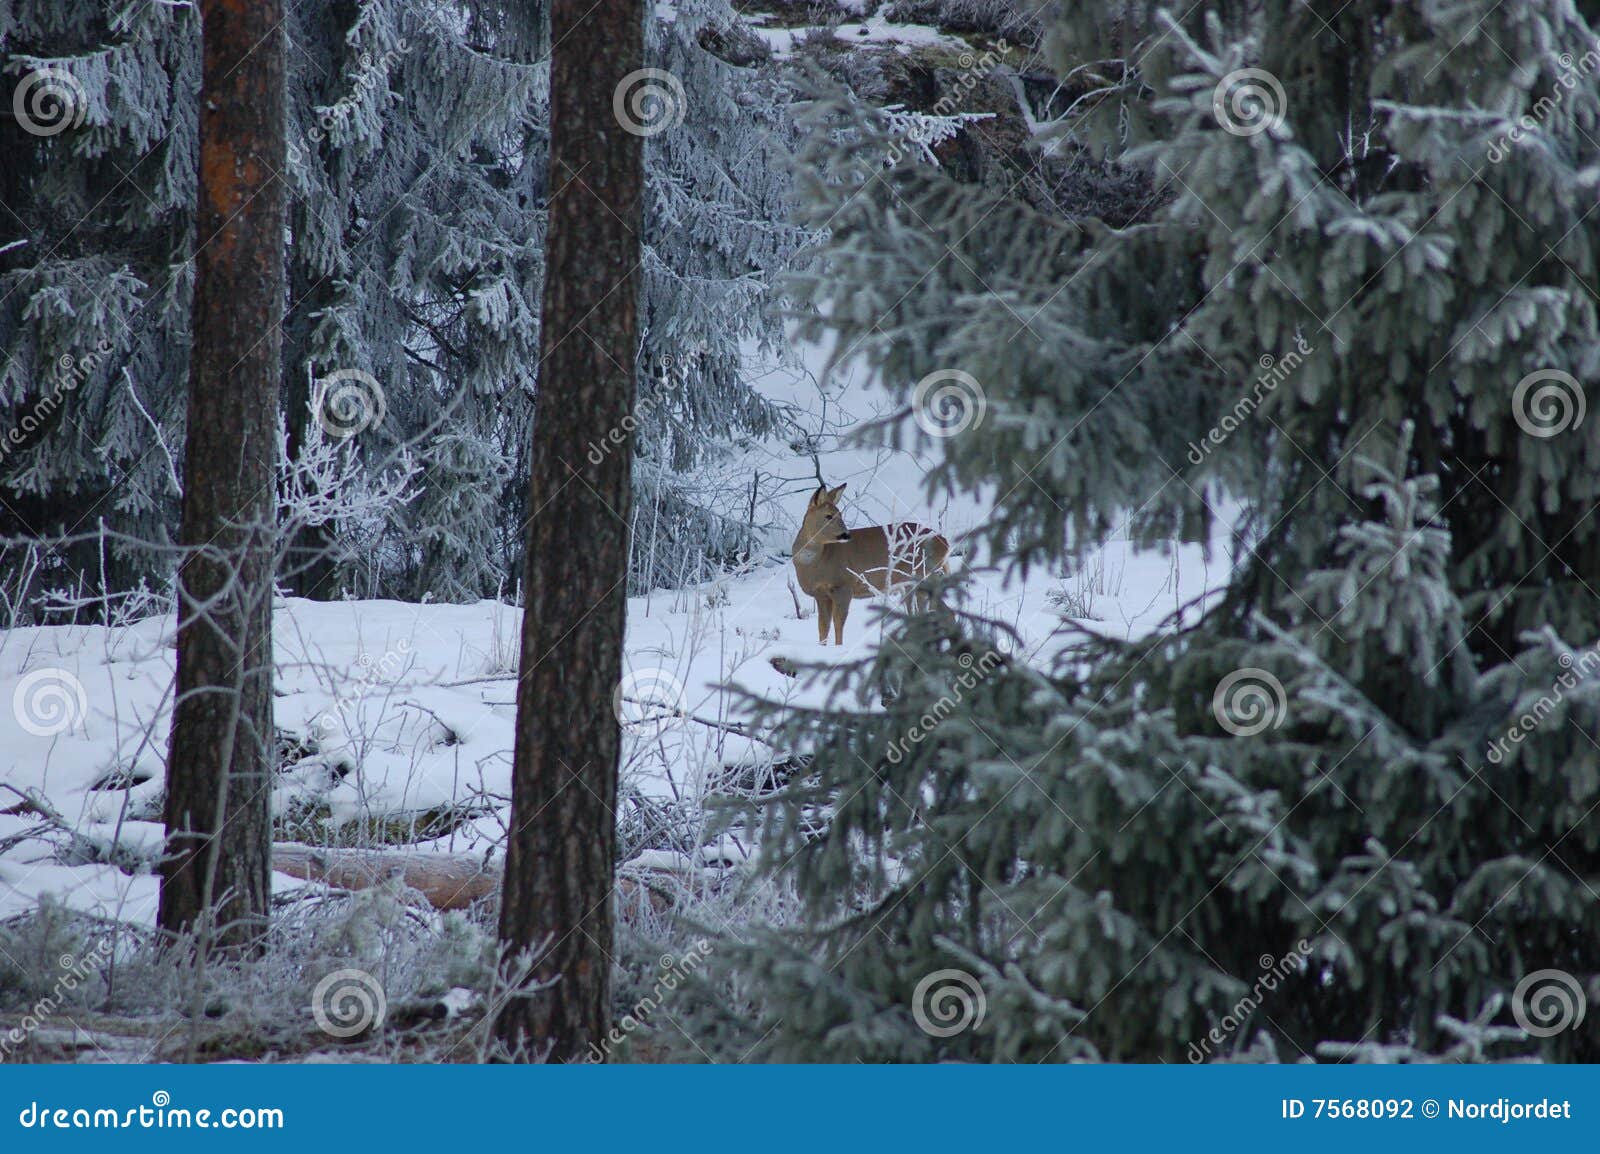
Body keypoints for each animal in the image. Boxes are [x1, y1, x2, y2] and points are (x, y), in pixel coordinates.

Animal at [791, 482, 950, 645]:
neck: (814, 563)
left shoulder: (844, 585)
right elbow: (823, 626)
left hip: (924, 577)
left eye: (840, 514)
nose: (846, 535)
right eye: (828, 516)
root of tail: (945, 543)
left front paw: (838, 647)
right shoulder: (821, 594)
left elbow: (838, 623)